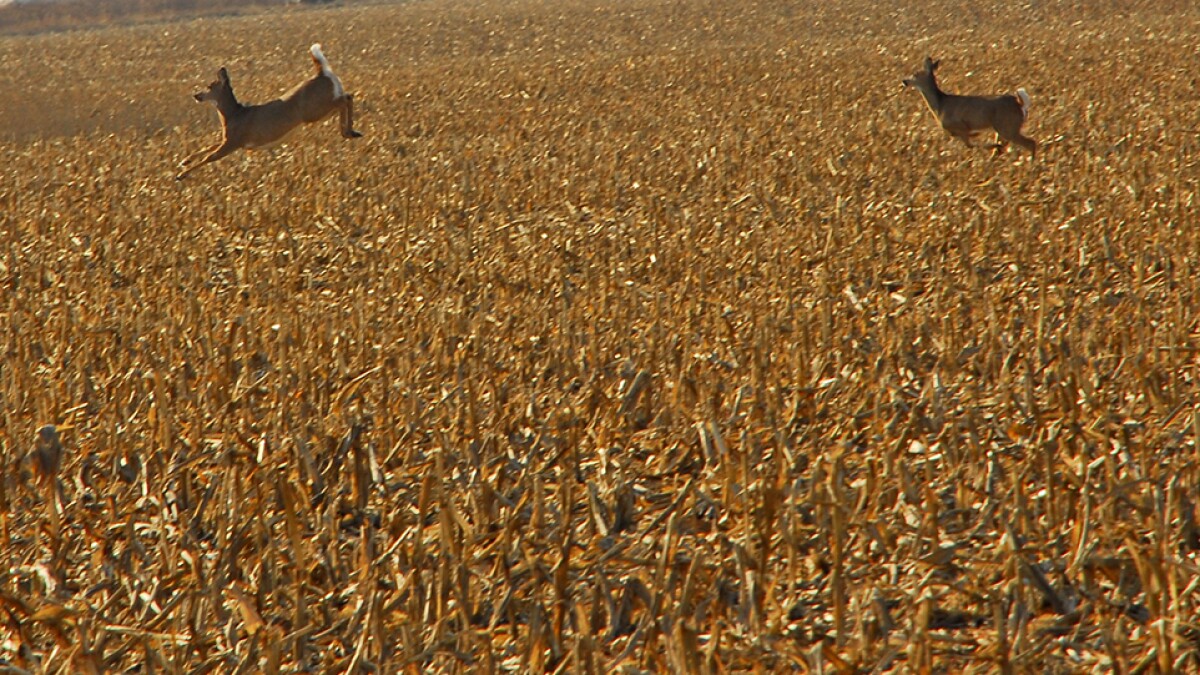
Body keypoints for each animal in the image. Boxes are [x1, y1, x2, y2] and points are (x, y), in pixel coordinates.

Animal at [176, 44, 362, 180]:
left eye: (209, 86)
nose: (196, 95)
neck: (232, 115)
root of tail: (322, 73)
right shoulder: (230, 140)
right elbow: (208, 147)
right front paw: (185, 161)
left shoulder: (233, 142)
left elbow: (209, 157)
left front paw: (182, 174)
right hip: (322, 110)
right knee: (346, 99)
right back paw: (350, 132)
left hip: (314, 110)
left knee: (347, 98)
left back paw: (348, 132)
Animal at [902, 57, 1036, 158]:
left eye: (915, 74)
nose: (904, 81)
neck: (939, 105)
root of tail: (1020, 103)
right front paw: (994, 147)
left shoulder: (961, 127)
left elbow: (970, 145)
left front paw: (993, 145)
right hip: (1003, 128)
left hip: (1007, 127)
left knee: (1031, 143)